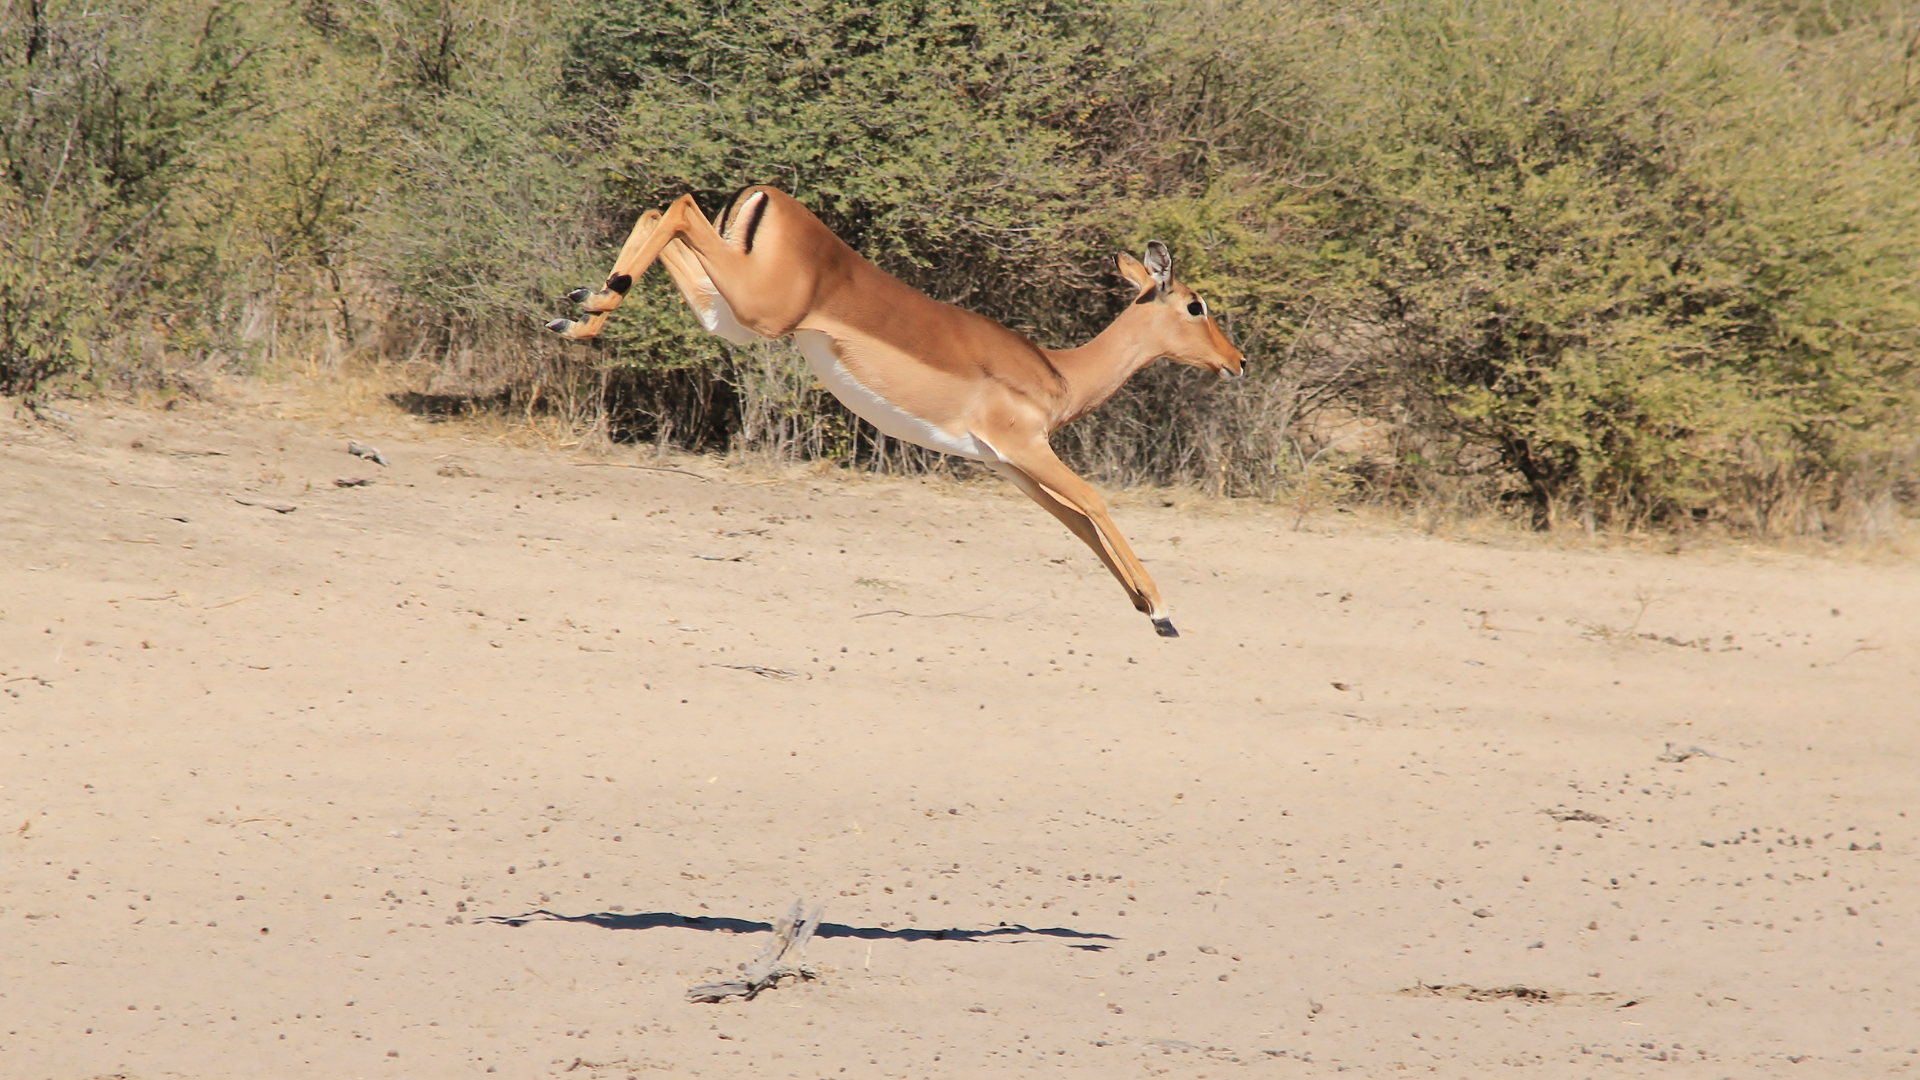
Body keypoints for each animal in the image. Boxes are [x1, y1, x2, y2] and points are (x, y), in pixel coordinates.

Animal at [548, 186, 1244, 637]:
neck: (1058, 374)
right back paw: (590, 302)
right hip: (757, 309)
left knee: (653, 209)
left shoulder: (1008, 467)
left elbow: (1076, 524)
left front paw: (1144, 608)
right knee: (675, 206)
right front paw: (1162, 611)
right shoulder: (1025, 447)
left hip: (732, 316)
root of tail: (765, 194)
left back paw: (579, 313)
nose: (1236, 362)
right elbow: (1097, 502)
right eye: (1196, 306)